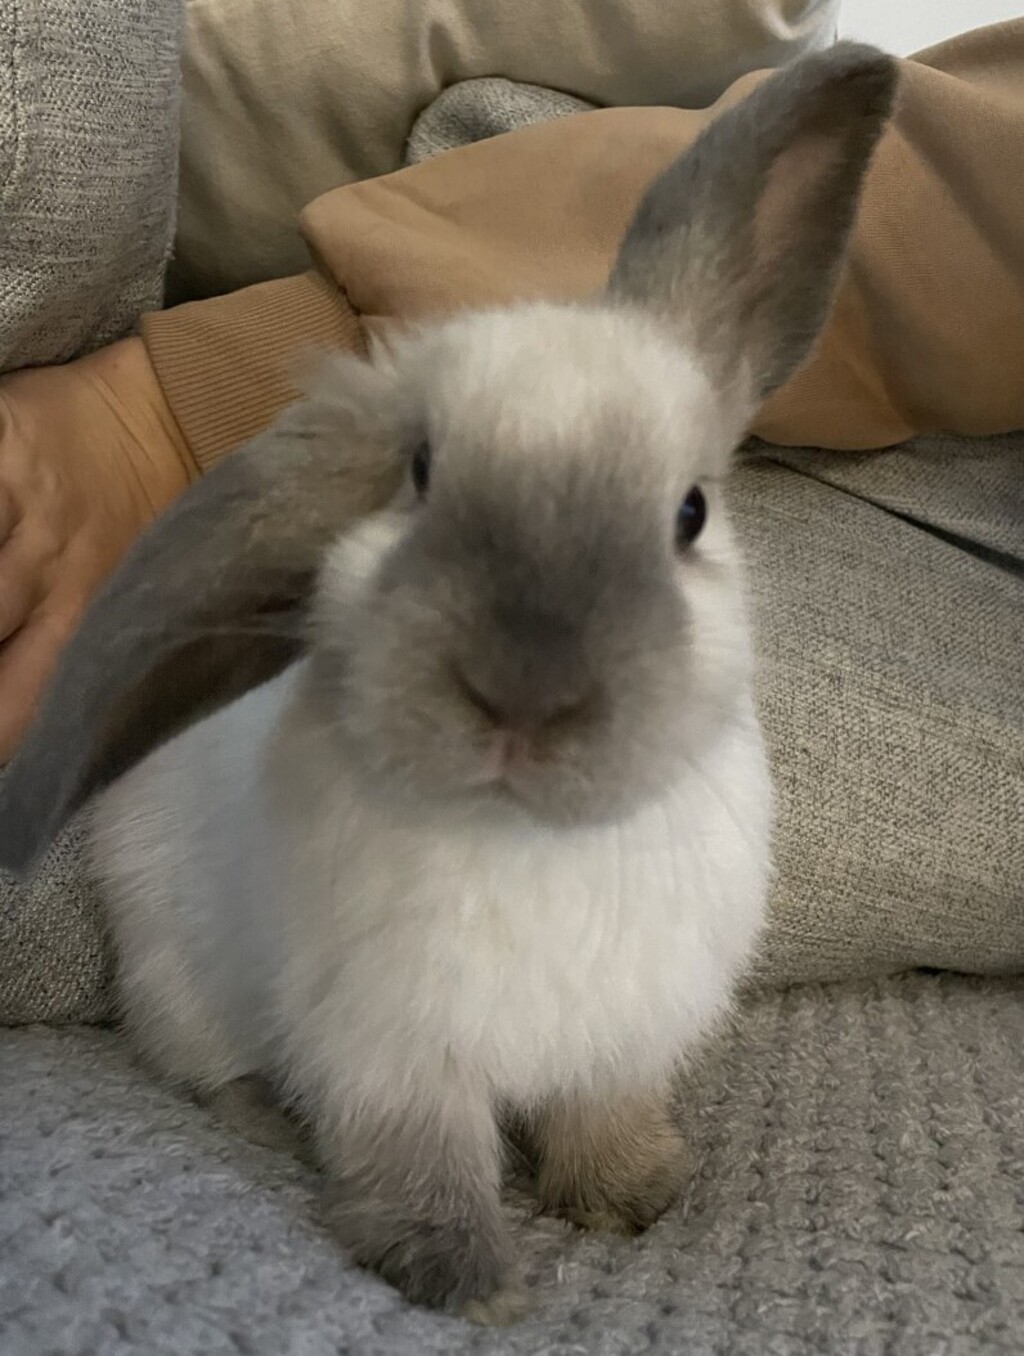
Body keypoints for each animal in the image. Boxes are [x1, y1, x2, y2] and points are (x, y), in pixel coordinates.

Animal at [0, 44, 897, 1322]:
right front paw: (464, 1280)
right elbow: (421, 1162)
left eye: (689, 514)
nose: (524, 699)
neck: (529, 835)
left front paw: (631, 1196)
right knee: (205, 1071)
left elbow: (601, 1119)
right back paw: (268, 1121)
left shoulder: (620, 1037)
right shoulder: (393, 1053)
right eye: (419, 476)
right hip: (180, 980)